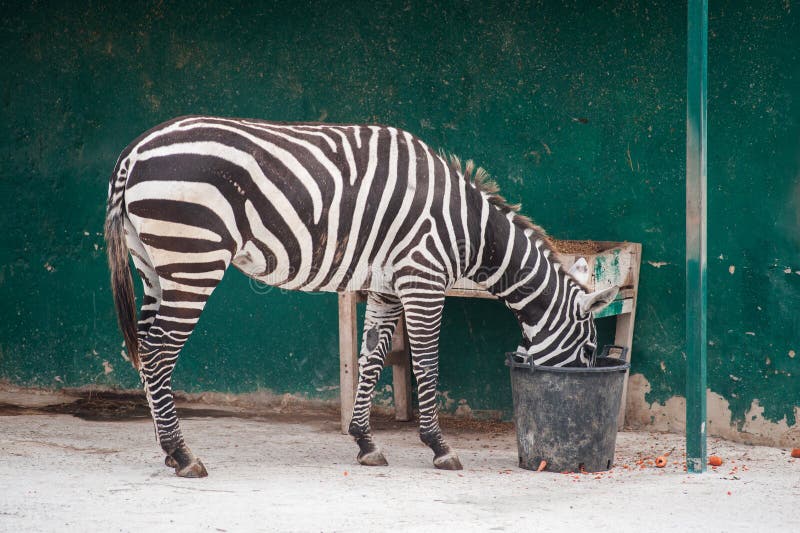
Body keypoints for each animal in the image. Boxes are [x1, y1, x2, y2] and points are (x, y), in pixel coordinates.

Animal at [105, 115, 619, 477]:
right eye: (589, 350)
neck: (469, 229)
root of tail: (134, 150)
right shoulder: (422, 279)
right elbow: (425, 361)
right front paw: (439, 446)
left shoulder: (385, 286)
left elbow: (372, 357)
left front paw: (365, 443)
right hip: (193, 257)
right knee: (158, 351)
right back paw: (182, 454)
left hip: (154, 264)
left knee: (147, 347)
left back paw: (168, 450)